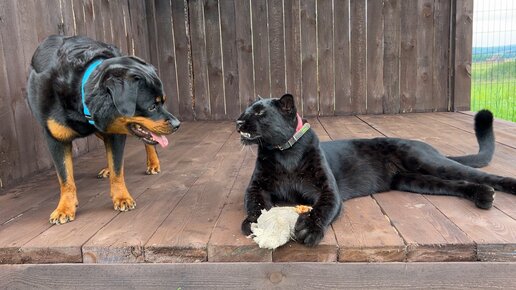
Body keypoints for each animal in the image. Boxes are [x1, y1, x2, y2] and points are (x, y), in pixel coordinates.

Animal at [26, 35, 179, 224]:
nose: (177, 124)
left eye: (163, 101)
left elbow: (117, 169)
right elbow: (65, 178)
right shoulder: (55, 138)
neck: (80, 90)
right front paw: (65, 208)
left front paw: (122, 197)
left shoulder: (115, 132)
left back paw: (153, 163)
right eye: (151, 106)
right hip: (101, 127)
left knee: (146, 143)